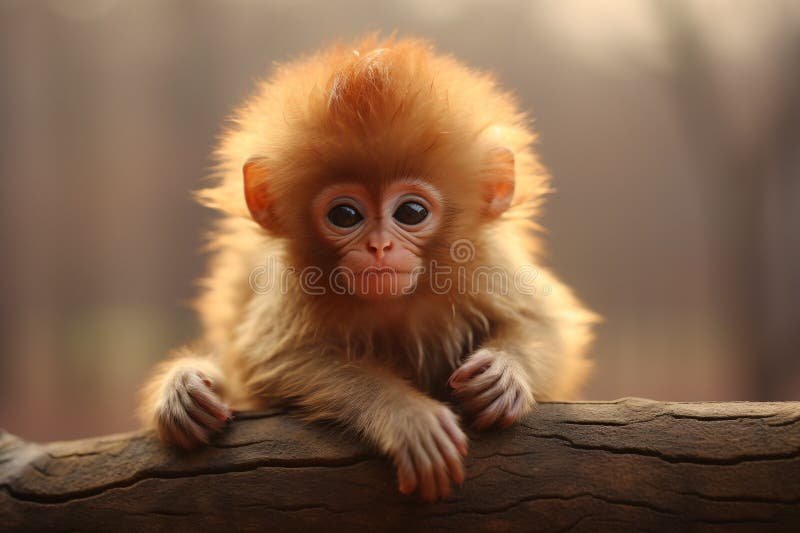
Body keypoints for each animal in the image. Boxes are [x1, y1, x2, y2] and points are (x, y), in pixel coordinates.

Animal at [138, 35, 596, 502]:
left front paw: (503, 376)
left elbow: (548, 324)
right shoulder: (292, 289)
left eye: (411, 212)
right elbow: (277, 357)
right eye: (345, 216)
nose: (379, 247)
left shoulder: (488, 262)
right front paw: (406, 414)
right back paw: (186, 392)